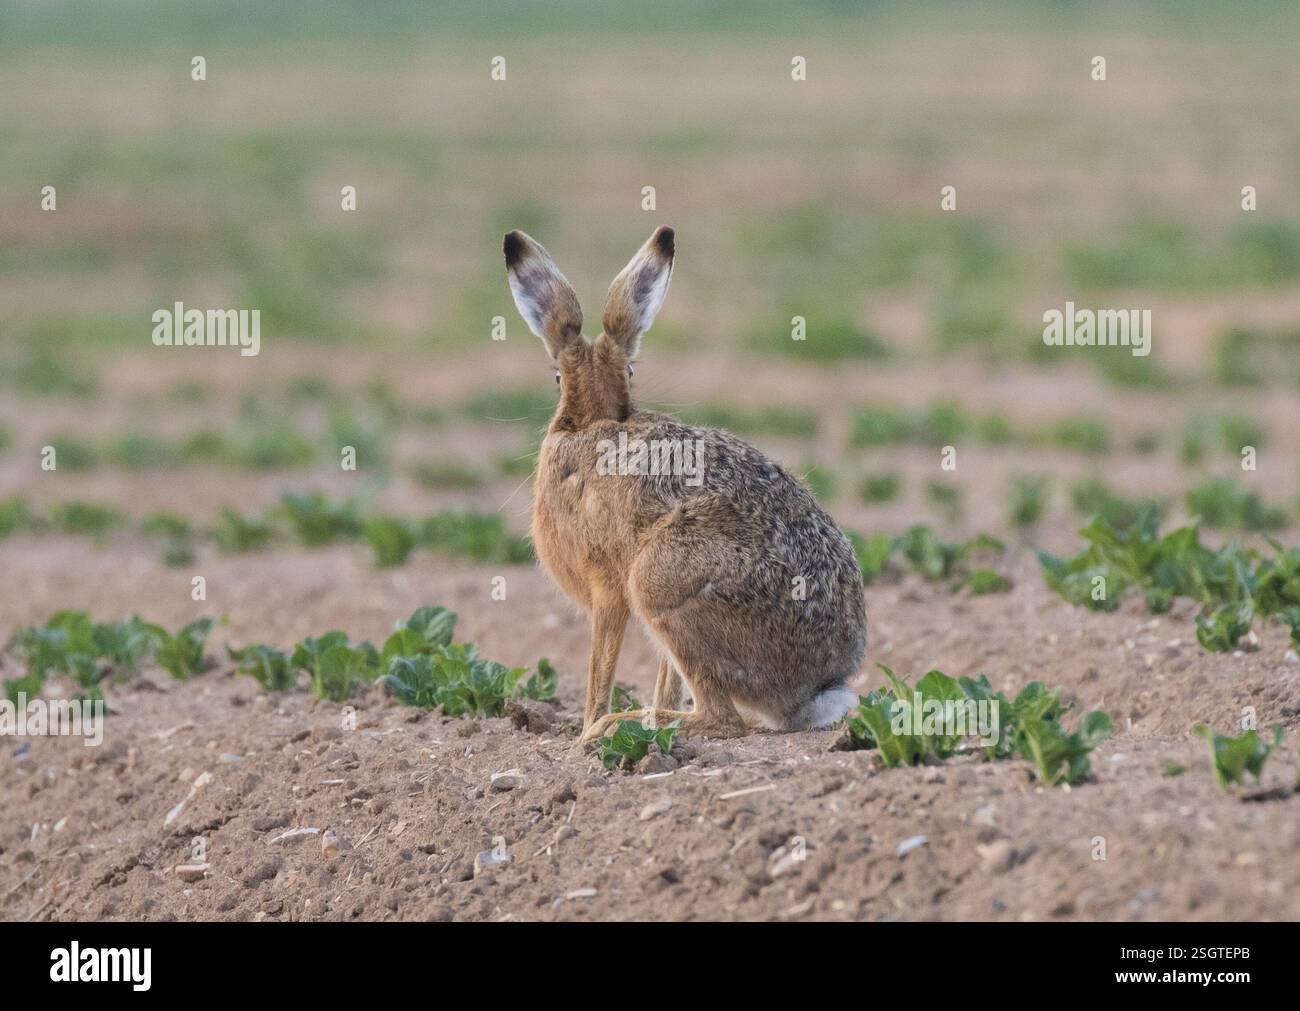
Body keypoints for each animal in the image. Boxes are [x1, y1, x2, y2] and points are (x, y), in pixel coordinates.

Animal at [504, 225, 867, 744]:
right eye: (630, 370)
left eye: (556, 377)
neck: (598, 418)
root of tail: (816, 688)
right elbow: (664, 678)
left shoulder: (607, 590)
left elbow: (600, 667)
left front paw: (584, 733)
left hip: (661, 581)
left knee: (721, 718)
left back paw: (617, 726)